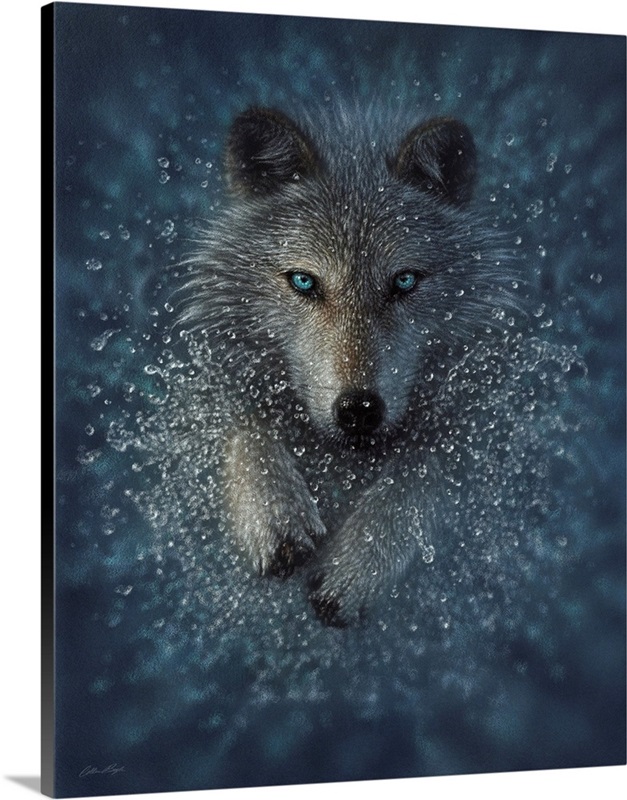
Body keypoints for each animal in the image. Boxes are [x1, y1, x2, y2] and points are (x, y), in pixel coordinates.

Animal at [177, 106, 514, 627]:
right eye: (303, 281)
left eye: (404, 281)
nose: (358, 409)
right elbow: (247, 422)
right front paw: (276, 514)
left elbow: (425, 469)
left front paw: (358, 564)